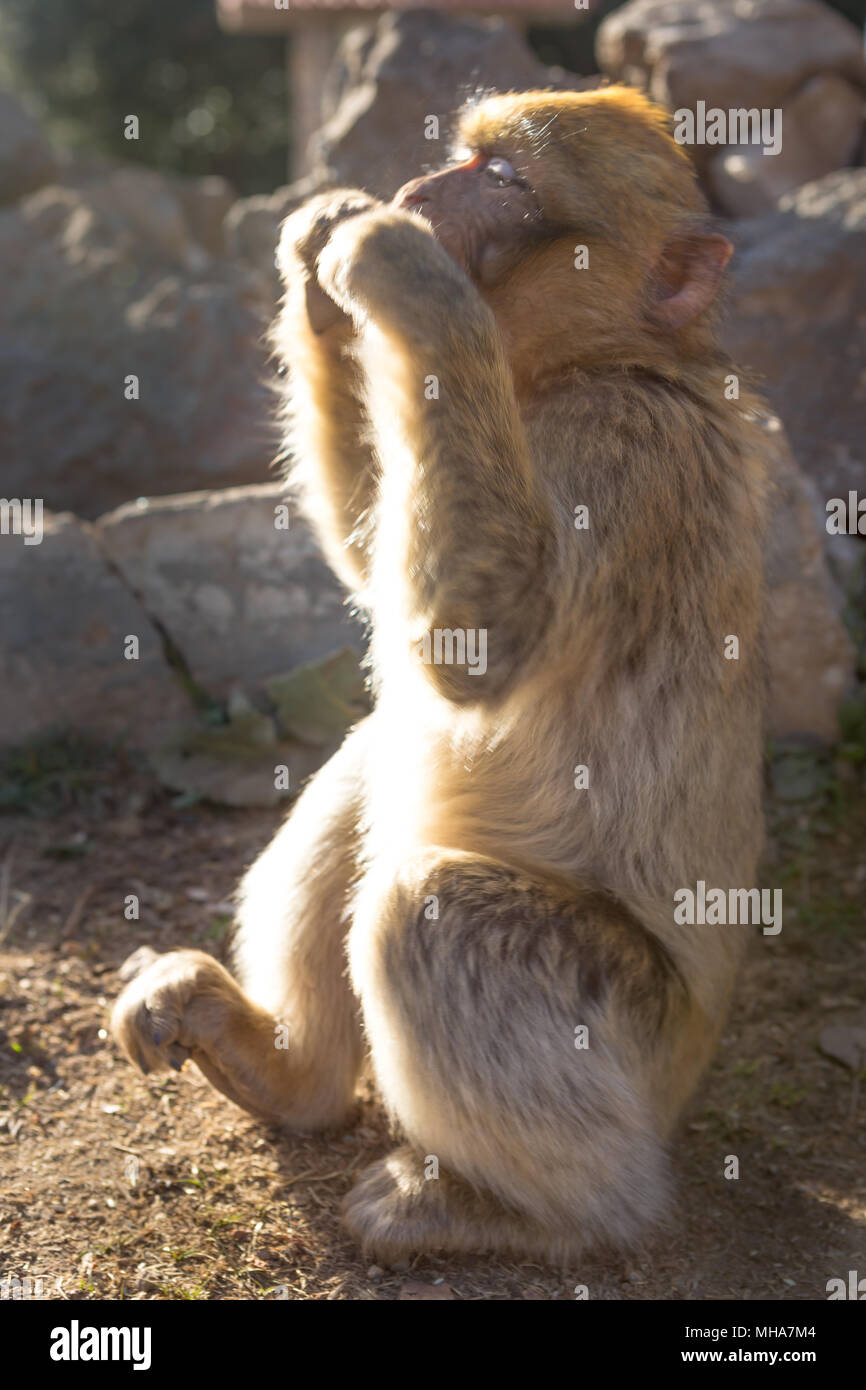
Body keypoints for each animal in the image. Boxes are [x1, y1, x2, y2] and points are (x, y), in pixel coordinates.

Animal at [112, 85, 769, 1263]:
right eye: (462, 156)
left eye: (502, 178)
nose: (420, 188)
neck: (594, 364)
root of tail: (688, 1079)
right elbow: (376, 565)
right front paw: (316, 252)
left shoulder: (618, 446)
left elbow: (482, 643)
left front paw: (401, 270)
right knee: (376, 762)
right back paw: (284, 1074)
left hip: (633, 1038)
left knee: (436, 910)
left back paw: (530, 1210)